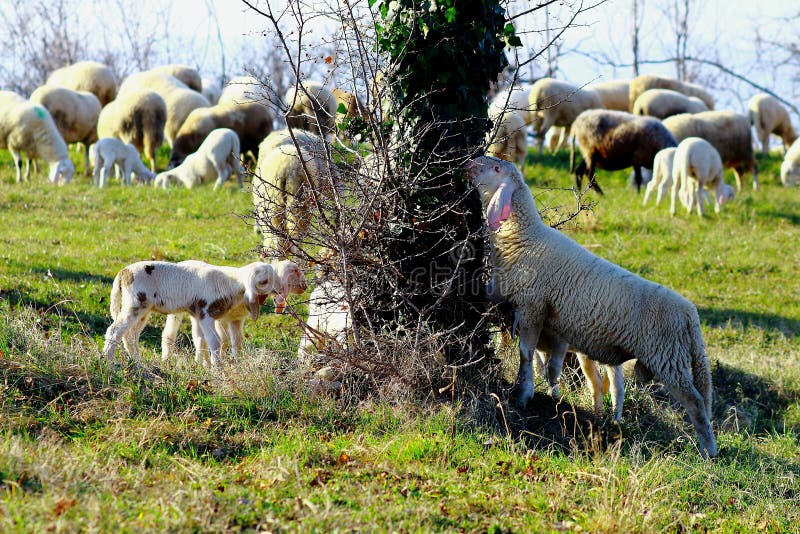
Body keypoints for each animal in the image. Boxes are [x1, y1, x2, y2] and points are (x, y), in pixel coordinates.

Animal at [103, 260, 285, 370]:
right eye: (265, 280)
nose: (280, 290)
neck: (228, 283)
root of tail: (123, 273)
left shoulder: (197, 314)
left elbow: (200, 339)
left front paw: (203, 365)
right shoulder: (205, 312)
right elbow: (214, 341)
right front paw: (217, 369)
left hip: (143, 309)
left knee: (130, 336)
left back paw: (138, 363)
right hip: (134, 304)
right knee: (114, 330)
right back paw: (106, 361)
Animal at [161, 259, 307, 366]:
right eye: (295, 271)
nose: (305, 287)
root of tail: (183, 261)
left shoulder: (235, 319)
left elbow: (236, 341)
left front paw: (236, 360)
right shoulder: (220, 318)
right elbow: (223, 339)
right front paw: (220, 359)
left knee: (199, 338)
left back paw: (200, 361)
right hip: (177, 310)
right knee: (169, 333)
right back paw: (167, 358)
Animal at [466, 156, 717, 457]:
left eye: (496, 169)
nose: (469, 164)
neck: (526, 236)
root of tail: (690, 313)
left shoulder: (532, 305)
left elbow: (526, 353)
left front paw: (523, 393)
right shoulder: (517, 303)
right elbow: (542, 360)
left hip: (668, 357)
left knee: (695, 402)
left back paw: (709, 450)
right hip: (672, 357)